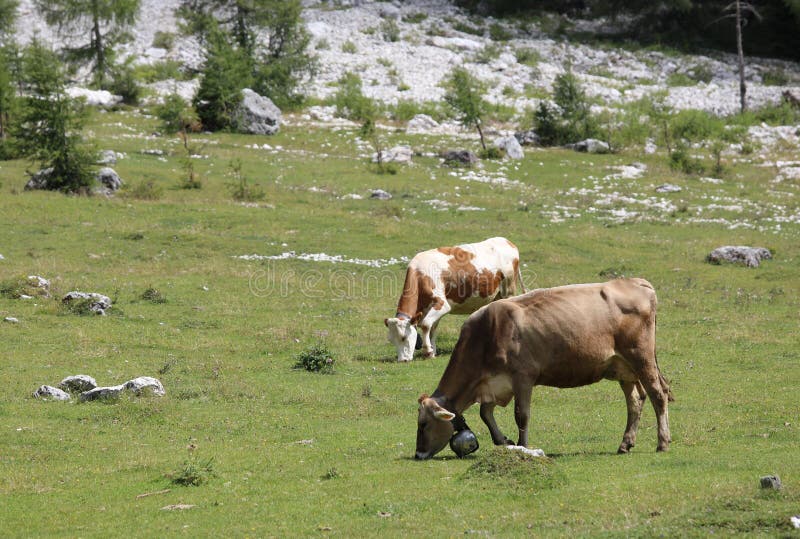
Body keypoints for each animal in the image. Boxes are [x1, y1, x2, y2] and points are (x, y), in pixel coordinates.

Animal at [384, 237, 525, 362]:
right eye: (391, 340)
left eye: (403, 337)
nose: (402, 360)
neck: (420, 275)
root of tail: (506, 241)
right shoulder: (429, 308)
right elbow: (432, 328)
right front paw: (433, 351)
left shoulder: (442, 304)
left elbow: (425, 324)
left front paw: (428, 351)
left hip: (509, 289)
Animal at [415, 278, 673, 459]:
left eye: (423, 424)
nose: (418, 454)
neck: (486, 334)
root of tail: (636, 282)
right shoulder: (495, 384)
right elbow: (485, 413)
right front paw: (503, 440)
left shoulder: (523, 377)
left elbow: (521, 415)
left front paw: (523, 446)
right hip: (622, 367)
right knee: (635, 400)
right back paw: (625, 443)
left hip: (641, 357)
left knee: (657, 394)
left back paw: (662, 441)